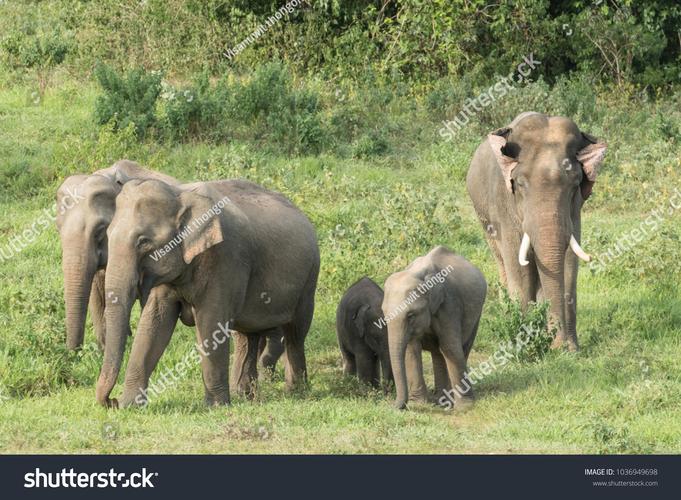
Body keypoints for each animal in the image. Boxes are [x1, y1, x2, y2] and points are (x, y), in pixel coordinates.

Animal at [96, 178, 319, 408]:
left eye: (143, 241)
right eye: (108, 235)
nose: (111, 400)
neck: (180, 194)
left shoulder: (225, 258)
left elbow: (211, 323)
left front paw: (216, 406)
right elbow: (153, 323)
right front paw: (129, 406)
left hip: (309, 280)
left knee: (296, 332)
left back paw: (295, 390)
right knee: (247, 335)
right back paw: (245, 395)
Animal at [382, 246, 487, 410]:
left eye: (411, 315)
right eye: (384, 314)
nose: (391, 407)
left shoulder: (449, 304)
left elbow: (450, 347)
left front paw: (465, 407)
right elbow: (412, 349)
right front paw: (418, 403)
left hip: (477, 314)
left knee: (461, 348)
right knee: (438, 353)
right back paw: (440, 399)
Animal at [466, 112, 607, 351]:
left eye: (575, 184)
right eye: (520, 183)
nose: (558, 346)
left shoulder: (575, 212)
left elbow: (569, 263)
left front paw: (569, 349)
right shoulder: (503, 205)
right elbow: (518, 265)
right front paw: (523, 346)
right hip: (484, 221)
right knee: (503, 262)